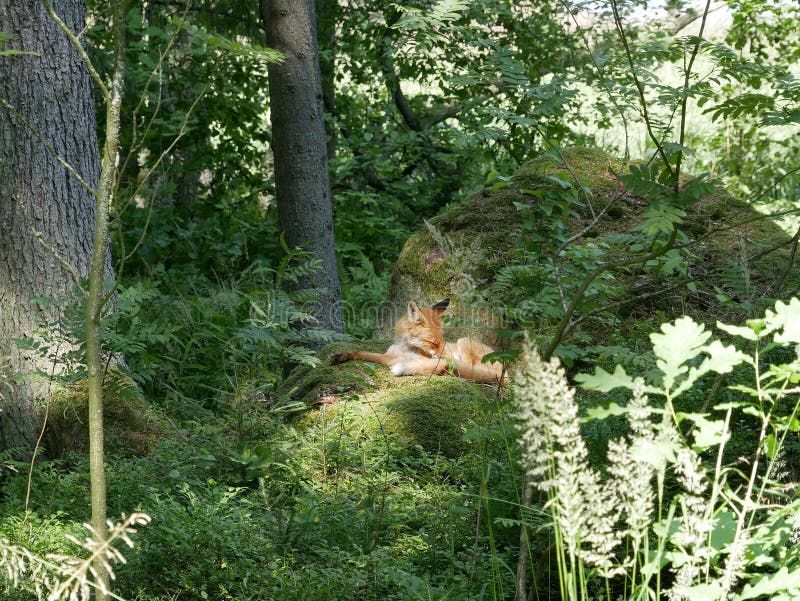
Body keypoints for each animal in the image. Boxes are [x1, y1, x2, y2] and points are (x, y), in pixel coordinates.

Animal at [329, 298, 506, 385]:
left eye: (442, 341)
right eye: (433, 343)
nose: (447, 356)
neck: (406, 348)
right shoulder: (387, 357)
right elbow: (360, 352)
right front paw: (342, 356)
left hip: (463, 341)